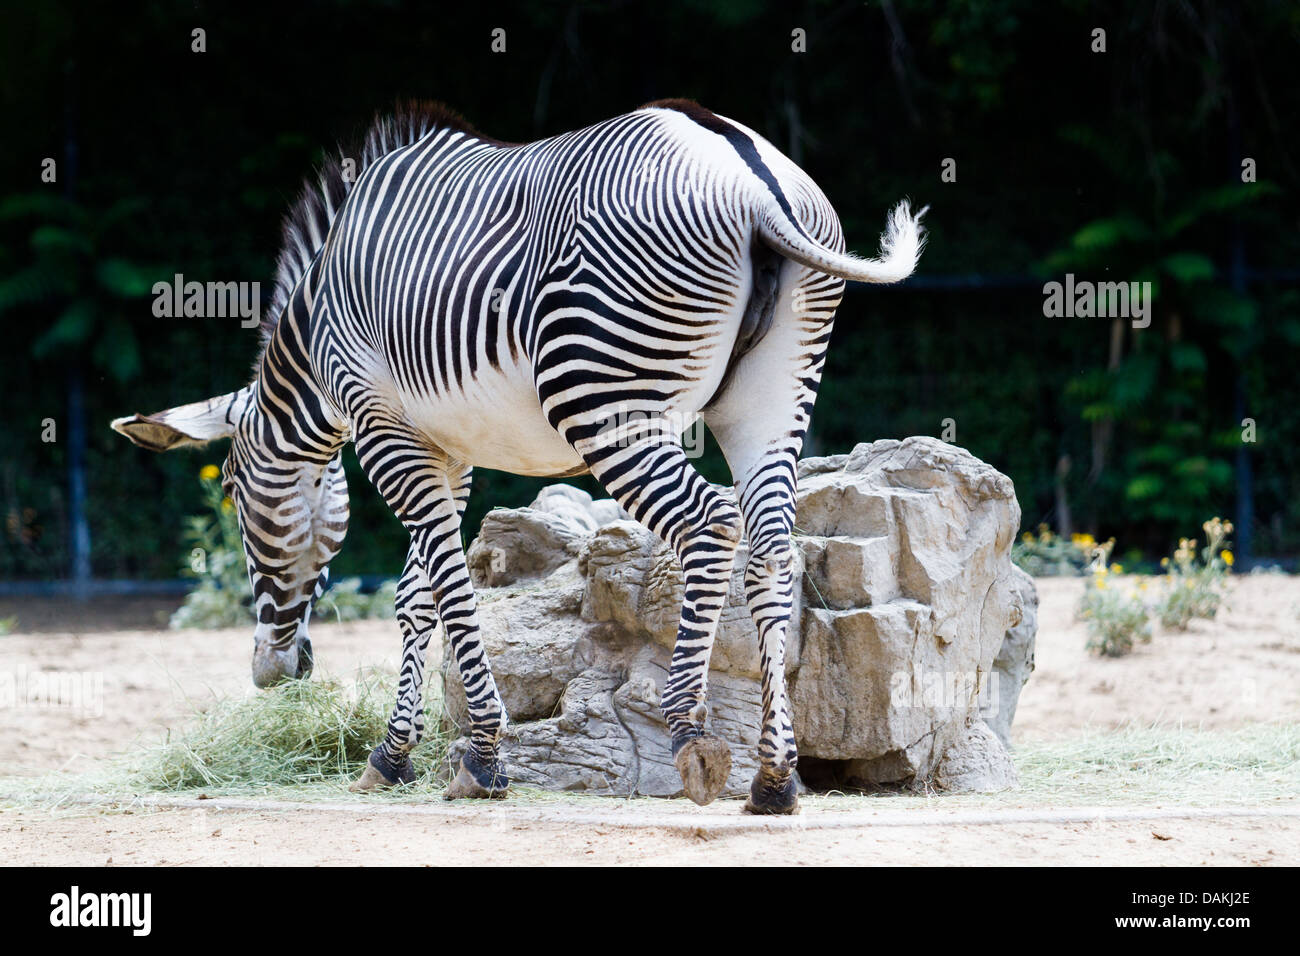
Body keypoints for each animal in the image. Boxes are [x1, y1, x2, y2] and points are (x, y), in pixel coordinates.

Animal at [113, 100, 924, 813]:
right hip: (773, 397)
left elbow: (449, 587)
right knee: (773, 547)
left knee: (712, 524)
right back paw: (775, 779)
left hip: (600, 397)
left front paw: (482, 757)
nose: (274, 671)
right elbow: (414, 598)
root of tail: (752, 180)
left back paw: (691, 738)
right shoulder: (449, 450)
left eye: (236, 497)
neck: (315, 341)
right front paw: (393, 755)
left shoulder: (382, 428)